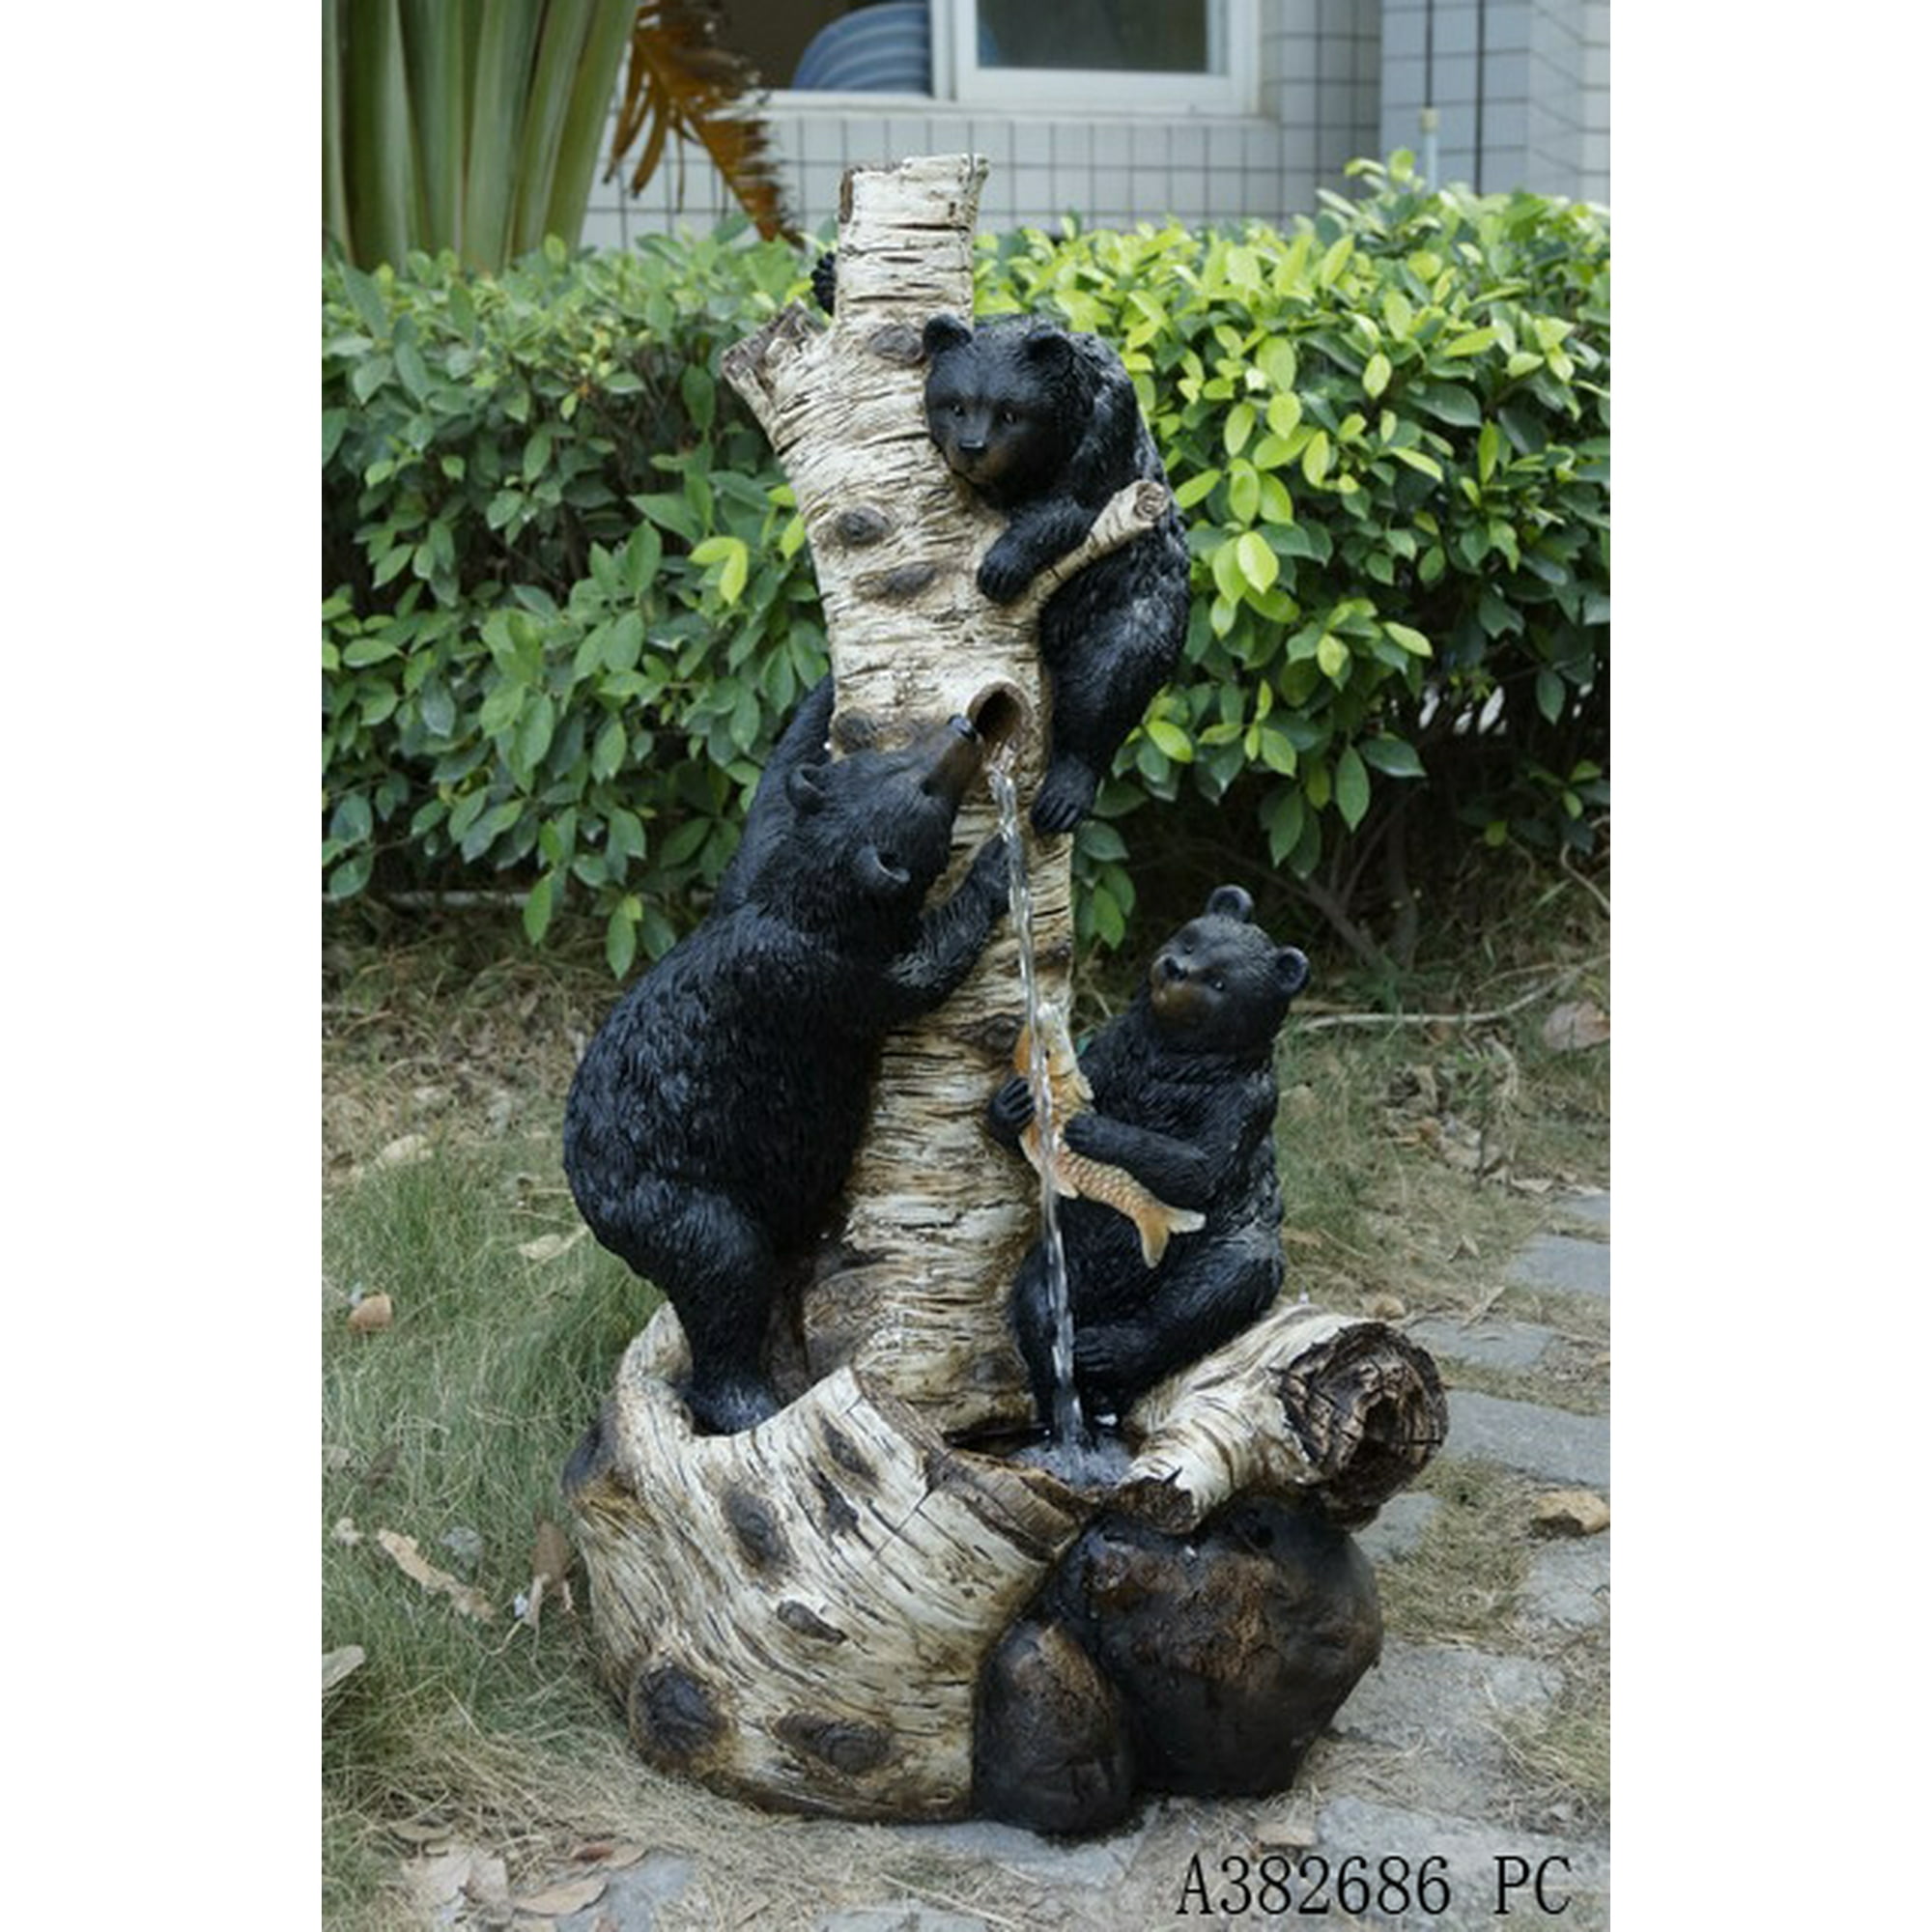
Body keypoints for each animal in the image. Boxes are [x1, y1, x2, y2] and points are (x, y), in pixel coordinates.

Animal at [564, 674, 1009, 1434]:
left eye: (894, 755)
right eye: (922, 786)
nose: (963, 727)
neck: (800, 904)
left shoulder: (750, 881)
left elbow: (768, 803)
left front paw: (817, 693)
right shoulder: (807, 978)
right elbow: (915, 974)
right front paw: (998, 864)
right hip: (663, 1197)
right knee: (722, 1269)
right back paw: (748, 1401)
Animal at [987, 884, 1311, 1428]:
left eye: (1221, 980)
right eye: (1189, 939)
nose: (1175, 968)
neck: (1175, 1058)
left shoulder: (1244, 1100)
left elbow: (1202, 1166)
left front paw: (1096, 1130)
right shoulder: (1116, 1051)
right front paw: (1010, 1106)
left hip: (1220, 1242)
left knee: (1219, 1286)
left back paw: (1109, 1352)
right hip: (1071, 1253)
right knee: (1039, 1302)